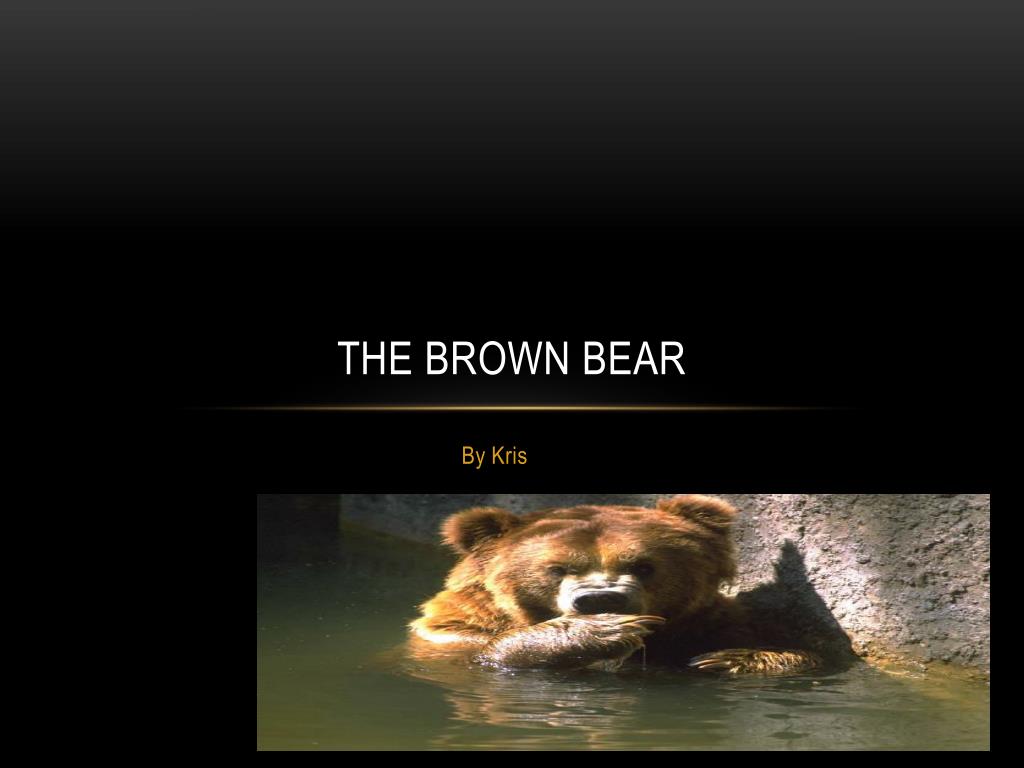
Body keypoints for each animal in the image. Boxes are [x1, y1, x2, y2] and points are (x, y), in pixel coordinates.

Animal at [409, 495, 823, 674]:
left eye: (643, 566)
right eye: (557, 568)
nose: (600, 599)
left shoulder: (713, 625)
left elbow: (798, 654)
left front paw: (726, 659)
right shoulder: (451, 637)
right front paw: (604, 630)